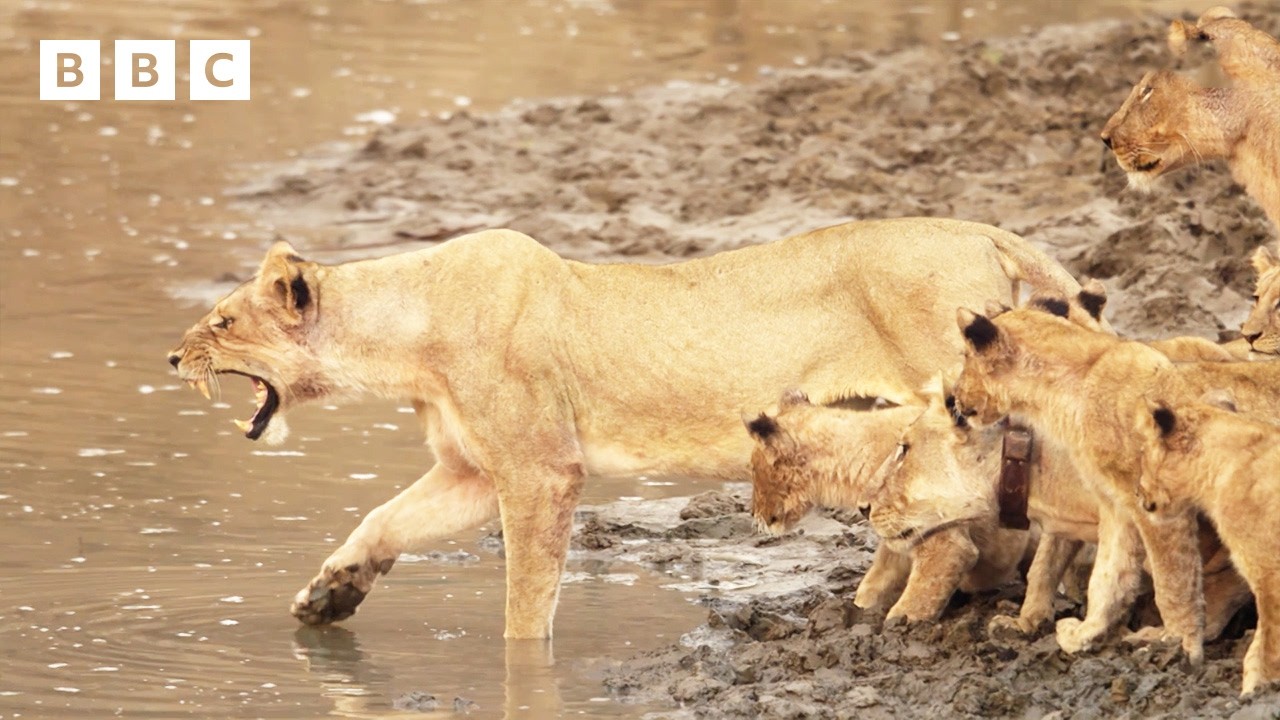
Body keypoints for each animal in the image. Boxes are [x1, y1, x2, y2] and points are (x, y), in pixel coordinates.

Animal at [745, 389, 1033, 622]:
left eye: (752, 470)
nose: (754, 514)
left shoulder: (944, 541)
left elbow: (913, 602)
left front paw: (896, 627)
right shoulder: (896, 539)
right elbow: (873, 585)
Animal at [951, 302, 1277, 662]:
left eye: (964, 357)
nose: (955, 400)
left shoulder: (1159, 506)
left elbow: (1173, 582)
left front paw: (1179, 648)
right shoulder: (1117, 505)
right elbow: (1107, 576)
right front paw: (1085, 634)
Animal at [1136, 400, 1280, 695]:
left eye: (1142, 453)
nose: (1136, 492)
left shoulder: (1268, 571)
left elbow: (1270, 640)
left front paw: (1265, 687)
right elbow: (1259, 643)